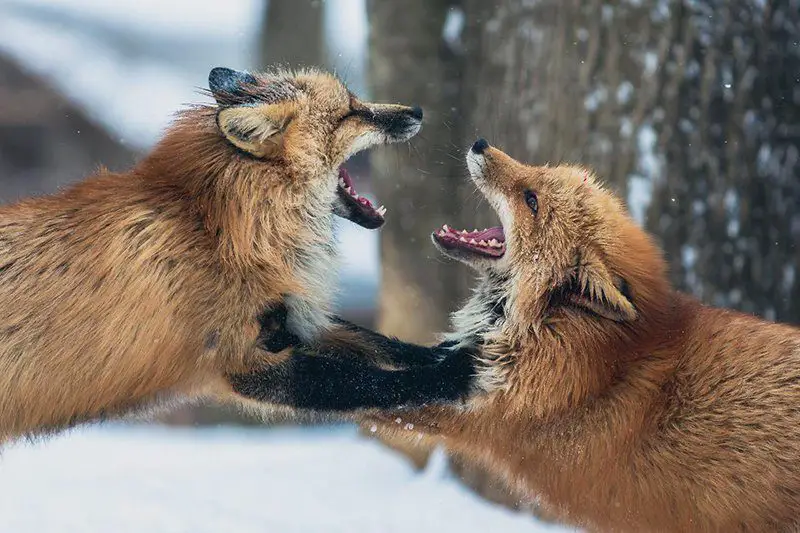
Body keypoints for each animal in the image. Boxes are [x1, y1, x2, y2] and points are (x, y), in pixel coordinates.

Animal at [0, 66, 426, 443]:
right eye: (349, 112)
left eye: (355, 100)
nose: (418, 111)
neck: (219, 232)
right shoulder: (242, 359)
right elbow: (372, 382)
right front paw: (441, 380)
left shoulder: (294, 321)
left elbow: (381, 344)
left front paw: (435, 354)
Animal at [235, 139, 800, 532]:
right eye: (540, 175)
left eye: (530, 199)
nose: (481, 143)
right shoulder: (460, 364)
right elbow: (377, 346)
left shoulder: (477, 415)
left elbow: (352, 388)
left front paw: (263, 380)